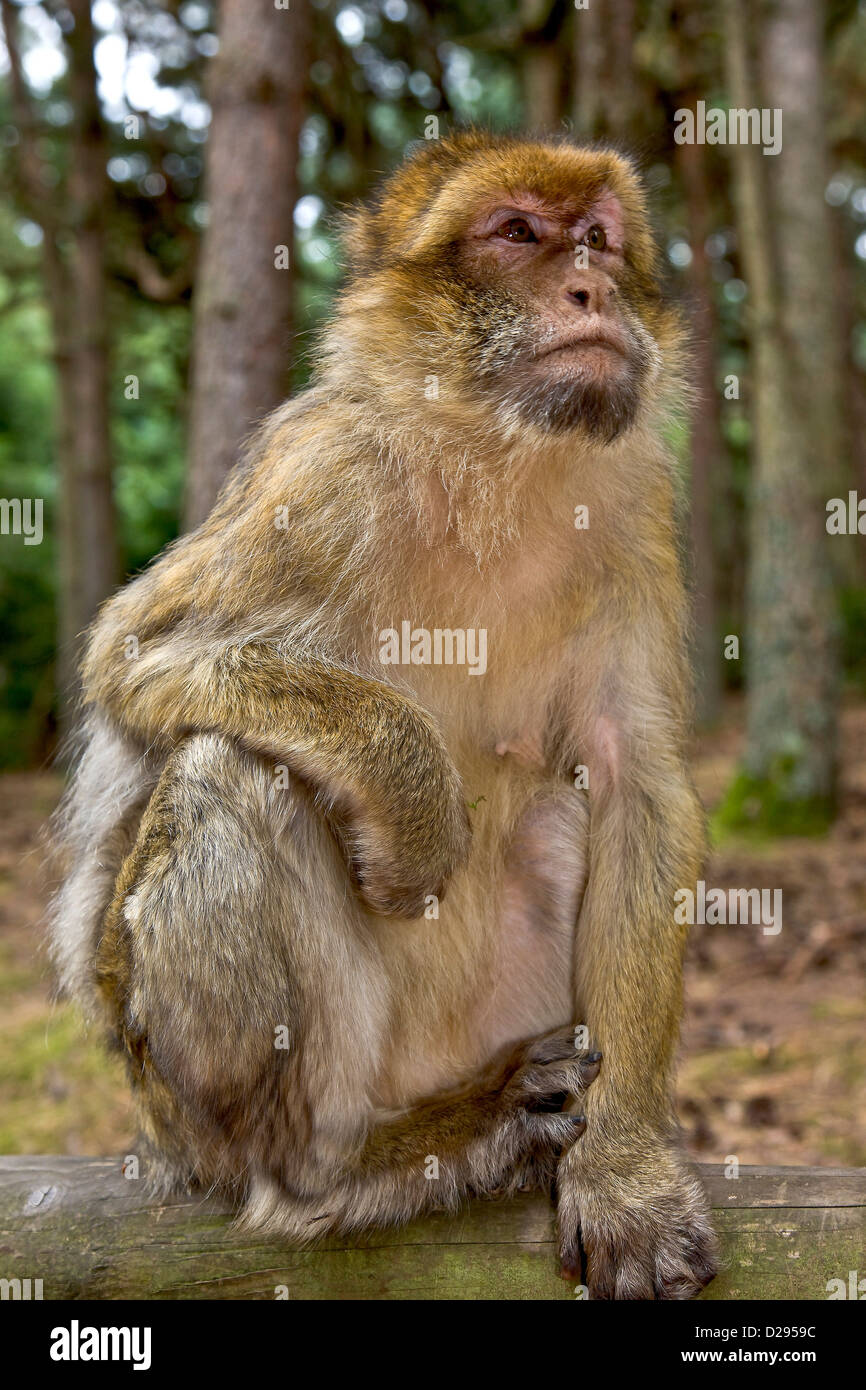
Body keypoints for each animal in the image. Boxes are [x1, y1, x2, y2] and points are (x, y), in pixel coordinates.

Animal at [50, 130, 719, 1300]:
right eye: (516, 233)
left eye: (596, 237)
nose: (589, 288)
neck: (495, 462)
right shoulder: (317, 477)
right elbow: (139, 651)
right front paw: (410, 796)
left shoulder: (638, 512)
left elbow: (632, 781)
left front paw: (627, 1166)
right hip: (180, 1098)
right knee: (235, 771)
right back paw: (353, 1164)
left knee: (555, 809)